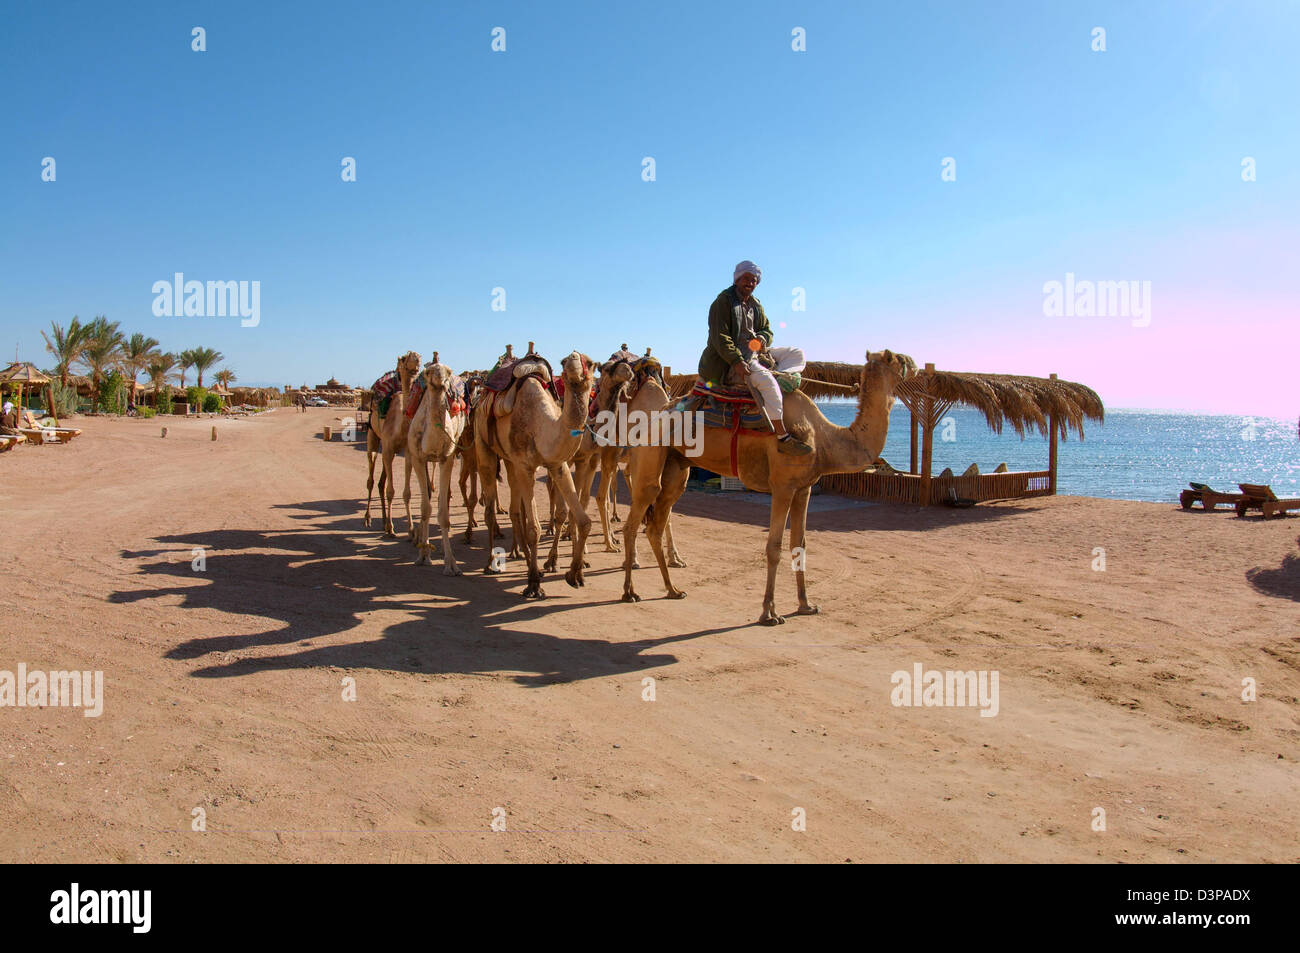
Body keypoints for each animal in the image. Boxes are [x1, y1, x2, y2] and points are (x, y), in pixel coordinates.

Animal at [363, 350, 421, 534]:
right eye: (404, 358)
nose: (416, 358)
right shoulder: (388, 449)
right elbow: (391, 491)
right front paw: (391, 527)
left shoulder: (407, 451)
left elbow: (406, 493)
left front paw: (411, 529)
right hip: (373, 436)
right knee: (371, 478)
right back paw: (368, 519)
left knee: (381, 482)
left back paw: (382, 521)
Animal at [405, 361, 467, 574]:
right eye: (428, 373)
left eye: (448, 372)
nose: (441, 381)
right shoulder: (418, 457)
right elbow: (425, 509)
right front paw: (423, 555)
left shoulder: (446, 458)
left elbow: (443, 515)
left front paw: (451, 563)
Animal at [474, 350, 597, 597]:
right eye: (563, 362)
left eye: (589, 363)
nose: (572, 360)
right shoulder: (526, 466)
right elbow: (534, 529)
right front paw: (532, 585)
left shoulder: (557, 463)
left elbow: (584, 521)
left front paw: (576, 575)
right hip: (483, 445)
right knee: (490, 508)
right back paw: (491, 563)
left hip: (510, 460)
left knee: (514, 508)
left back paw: (523, 556)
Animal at [621, 349, 915, 625]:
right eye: (896, 358)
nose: (913, 364)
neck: (824, 439)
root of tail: (647, 421)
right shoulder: (783, 486)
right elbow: (774, 547)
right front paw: (769, 613)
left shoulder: (804, 488)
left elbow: (800, 543)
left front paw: (806, 605)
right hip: (649, 457)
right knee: (633, 521)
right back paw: (629, 591)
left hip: (677, 468)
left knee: (656, 525)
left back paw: (672, 589)